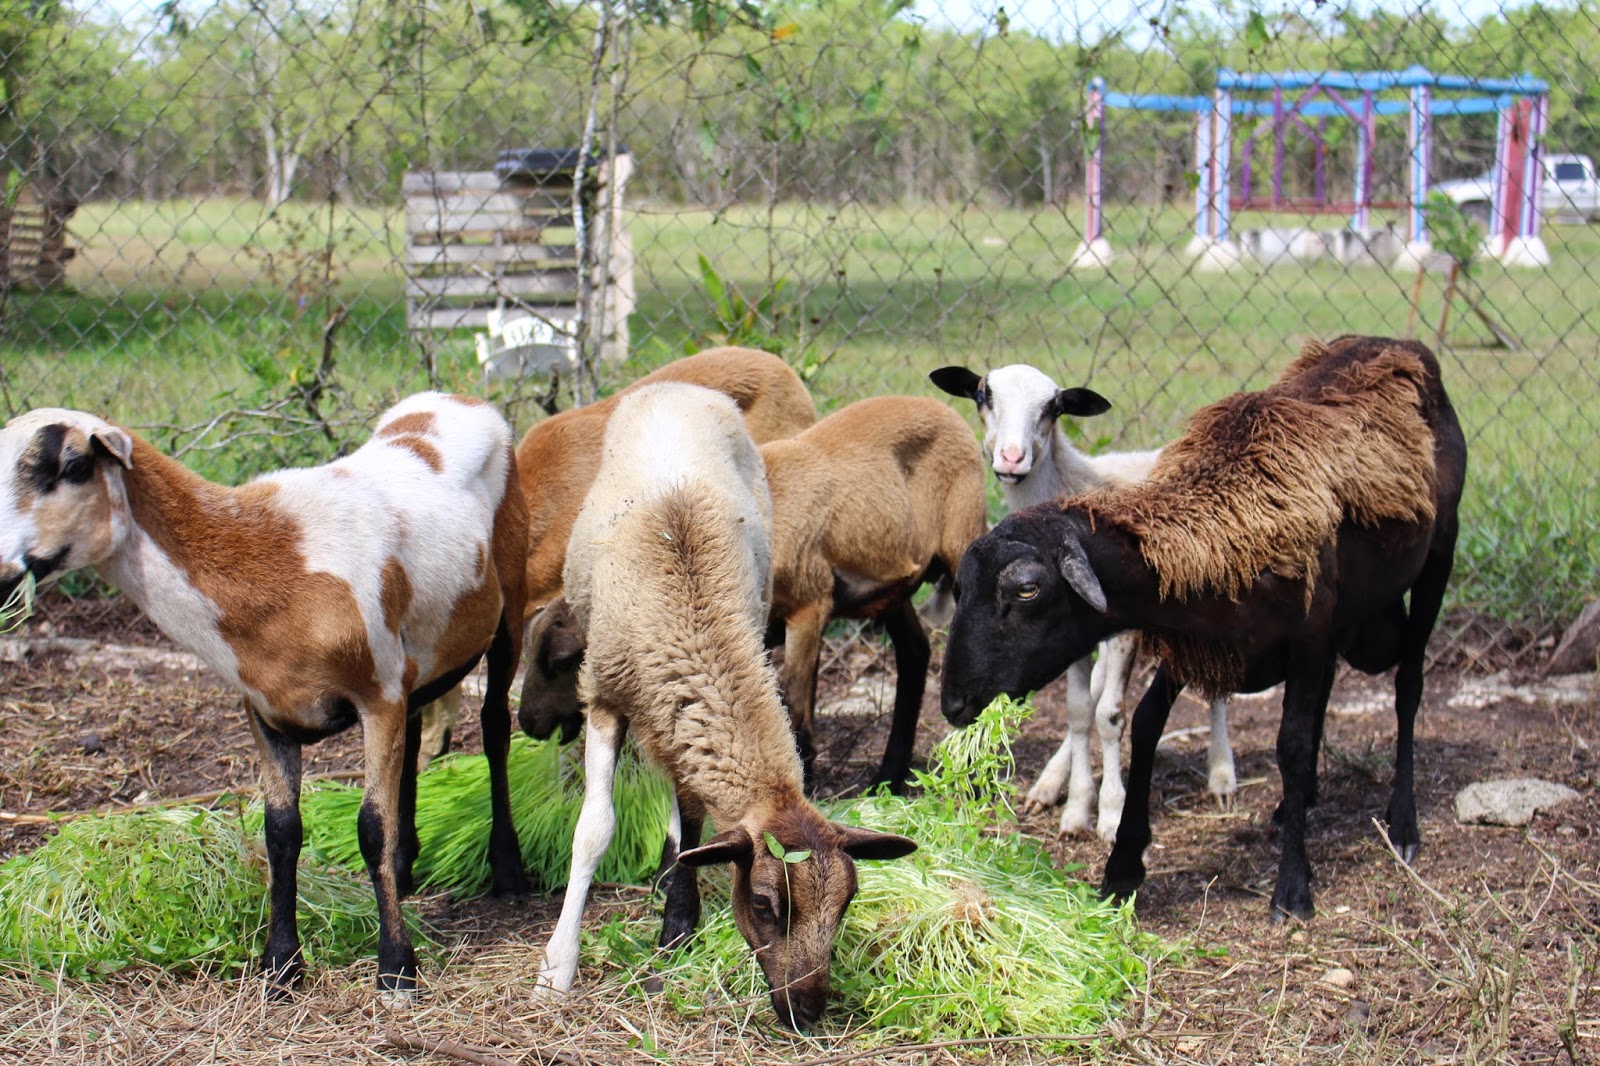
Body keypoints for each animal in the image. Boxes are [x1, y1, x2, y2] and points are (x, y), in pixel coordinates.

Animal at [0, 394, 529, 995]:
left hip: (510, 599)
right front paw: (281, 965)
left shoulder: (377, 693)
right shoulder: (266, 710)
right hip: (420, 655)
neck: (274, 565)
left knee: (493, 726)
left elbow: (371, 827)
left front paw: (396, 967)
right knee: (417, 739)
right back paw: (406, 868)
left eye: (70, 466)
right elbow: (282, 832)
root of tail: (458, 399)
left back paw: (508, 871)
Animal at [518, 395, 989, 794]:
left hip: (962, 537)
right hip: (892, 586)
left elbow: (796, 708)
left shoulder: (810, 605)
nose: (528, 724)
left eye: (564, 660)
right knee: (915, 653)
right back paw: (889, 776)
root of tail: (941, 407)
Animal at [537, 381, 916, 1030]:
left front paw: (677, 921)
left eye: (848, 903)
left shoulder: (682, 711)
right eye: (764, 903)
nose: (807, 1012)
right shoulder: (605, 696)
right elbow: (594, 830)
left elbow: (690, 813)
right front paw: (558, 968)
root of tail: (679, 387)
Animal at [930, 364, 1235, 842]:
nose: (1012, 458)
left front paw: (1110, 813)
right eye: (983, 395)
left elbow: (1109, 715)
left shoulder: (1125, 627)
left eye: (1054, 407)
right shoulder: (1068, 626)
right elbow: (1078, 712)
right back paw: (1051, 782)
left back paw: (1222, 775)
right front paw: (1076, 808)